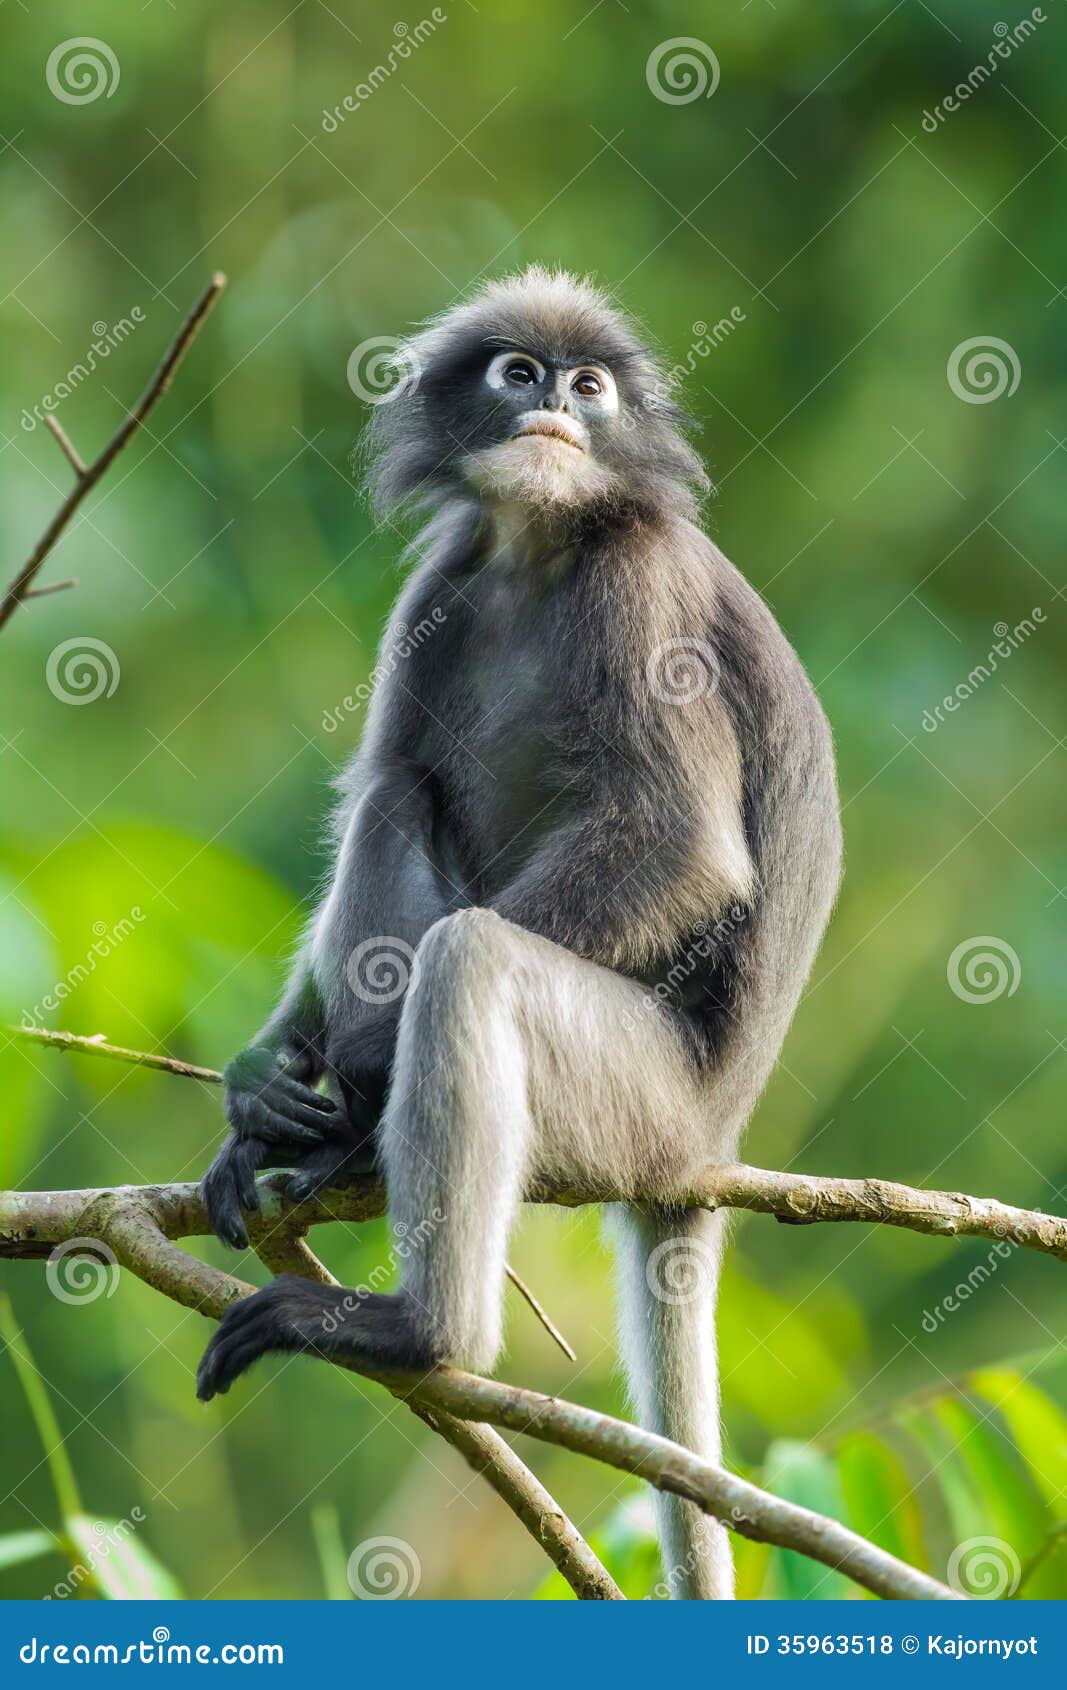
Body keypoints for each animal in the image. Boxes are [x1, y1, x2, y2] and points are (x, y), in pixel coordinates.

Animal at [196, 266, 842, 1601]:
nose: (554, 403)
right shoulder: (443, 581)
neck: (546, 549)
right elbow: (383, 771)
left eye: (589, 386)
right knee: (397, 792)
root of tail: (709, 1146)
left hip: (636, 1104)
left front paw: (358, 1078)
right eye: (518, 374)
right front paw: (265, 1084)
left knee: (471, 957)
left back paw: (417, 1323)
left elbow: (683, 849)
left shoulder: (640, 584)